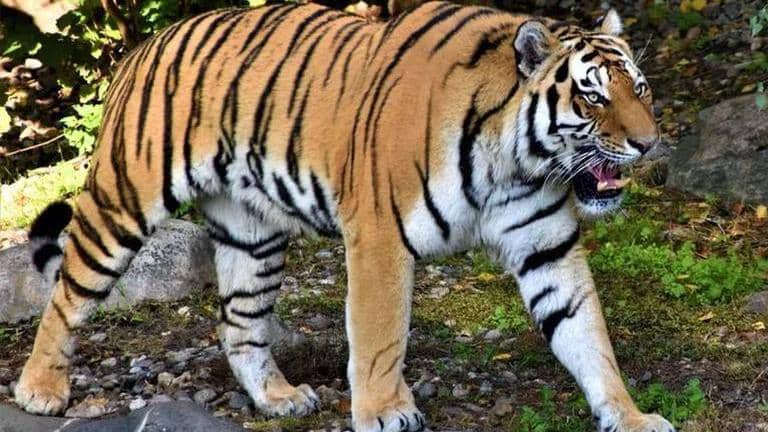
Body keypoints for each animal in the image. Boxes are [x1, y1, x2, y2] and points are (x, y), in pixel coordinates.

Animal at [14, 2, 673, 431]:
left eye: (640, 89)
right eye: (592, 95)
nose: (647, 144)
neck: (517, 160)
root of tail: (142, 48)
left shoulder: (547, 247)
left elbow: (588, 336)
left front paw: (631, 417)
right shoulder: (380, 237)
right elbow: (381, 336)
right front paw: (385, 412)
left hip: (253, 238)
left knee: (239, 326)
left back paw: (278, 398)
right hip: (123, 202)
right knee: (68, 295)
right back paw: (40, 390)